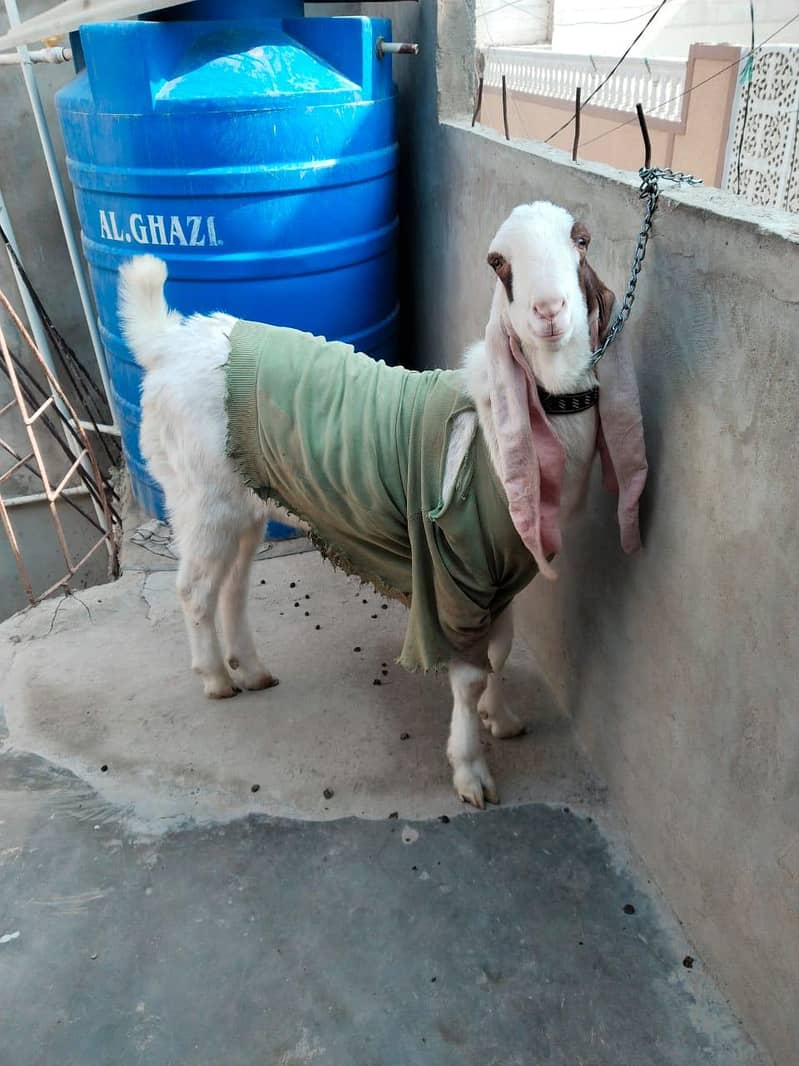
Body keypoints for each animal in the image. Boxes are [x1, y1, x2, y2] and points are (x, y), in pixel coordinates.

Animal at [118, 201, 646, 809]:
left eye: (581, 241)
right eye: (497, 262)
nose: (549, 311)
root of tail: (171, 343)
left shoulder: (501, 574)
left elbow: (500, 650)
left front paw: (503, 718)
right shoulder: (454, 575)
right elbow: (468, 673)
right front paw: (470, 770)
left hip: (244, 503)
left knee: (232, 586)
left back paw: (249, 670)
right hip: (199, 496)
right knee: (194, 589)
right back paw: (214, 678)